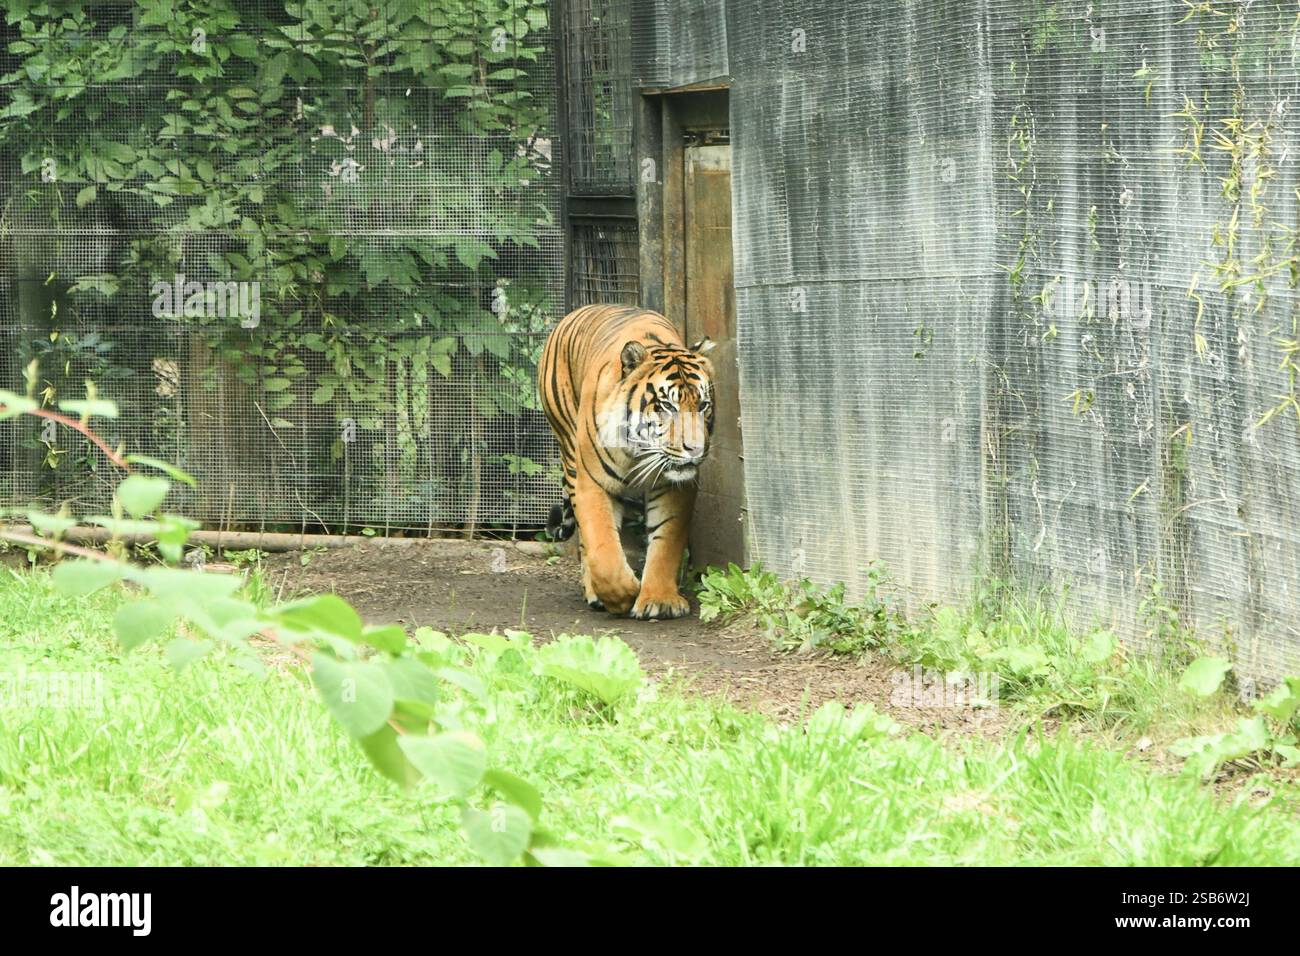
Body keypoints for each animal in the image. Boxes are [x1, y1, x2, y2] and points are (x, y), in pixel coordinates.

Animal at [538, 304, 716, 619]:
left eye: (703, 405)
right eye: (667, 406)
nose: (696, 450)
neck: (639, 451)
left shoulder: (674, 485)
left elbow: (666, 541)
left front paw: (659, 600)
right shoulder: (592, 482)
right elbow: (602, 545)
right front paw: (622, 594)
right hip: (569, 454)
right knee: (584, 539)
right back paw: (594, 592)